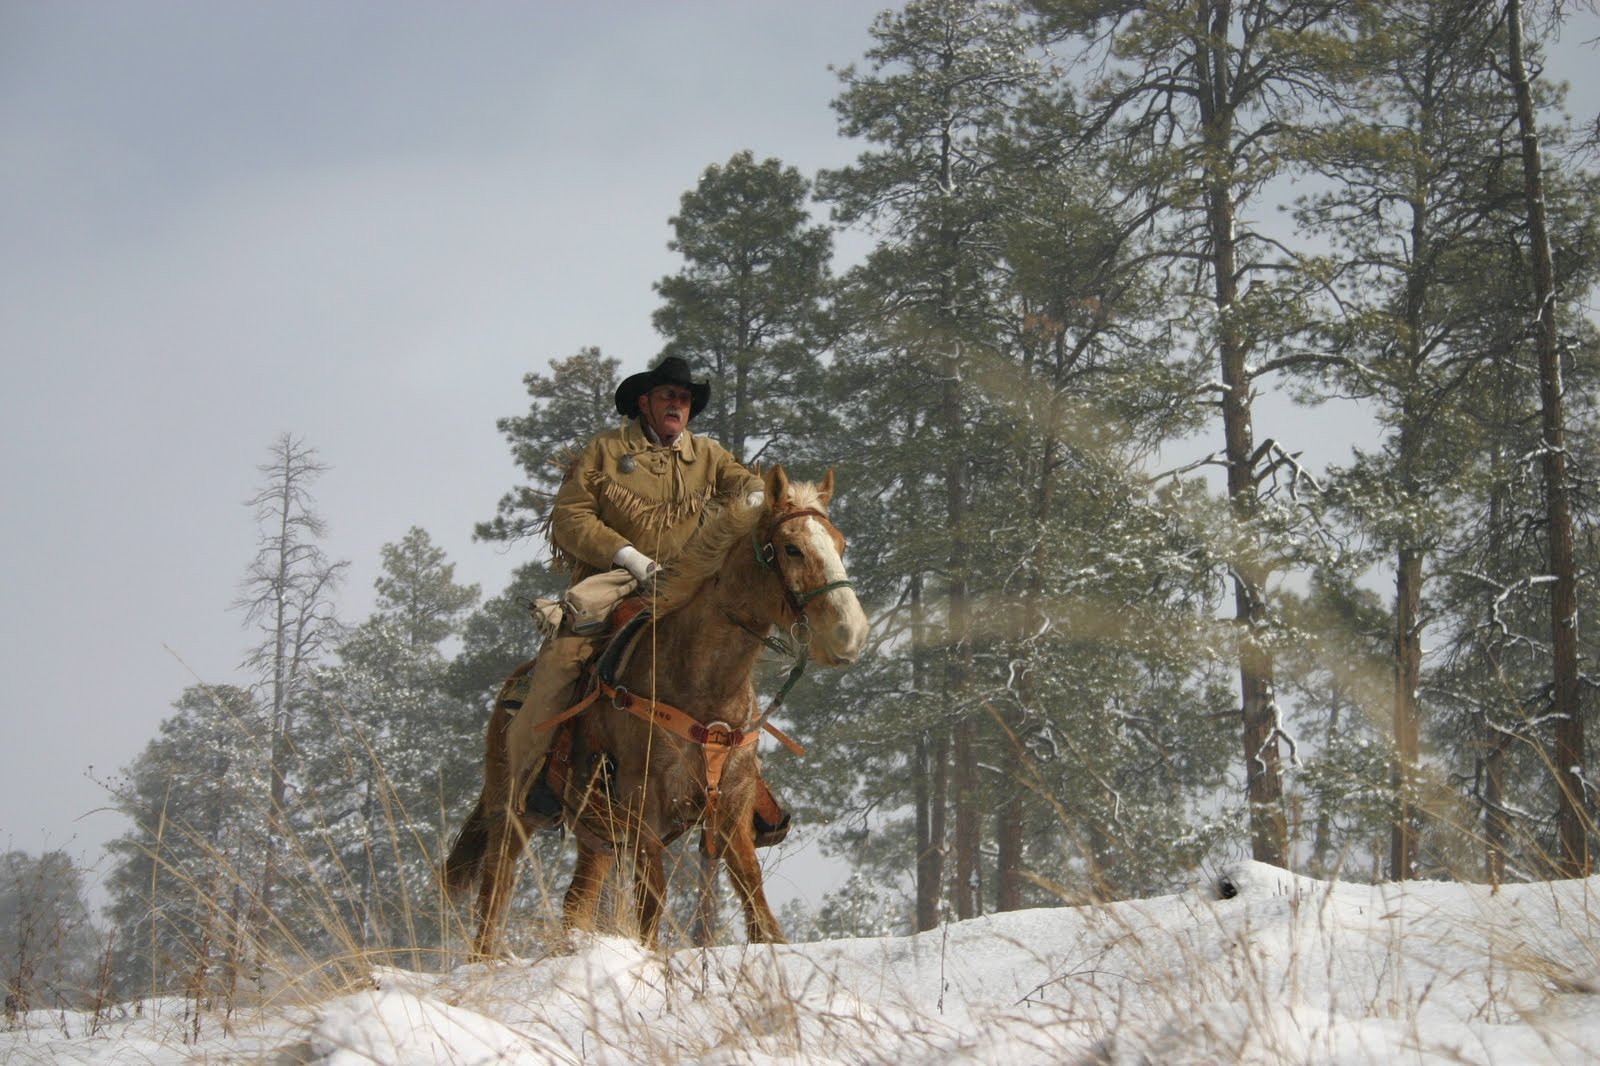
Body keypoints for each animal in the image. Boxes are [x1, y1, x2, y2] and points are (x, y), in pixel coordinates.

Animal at [444, 464, 867, 955]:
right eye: (792, 548)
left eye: (840, 545)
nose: (850, 632)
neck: (701, 684)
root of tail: (514, 686)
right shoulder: (646, 810)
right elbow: (652, 907)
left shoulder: (733, 808)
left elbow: (757, 903)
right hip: (513, 809)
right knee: (495, 893)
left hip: (597, 834)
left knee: (576, 903)